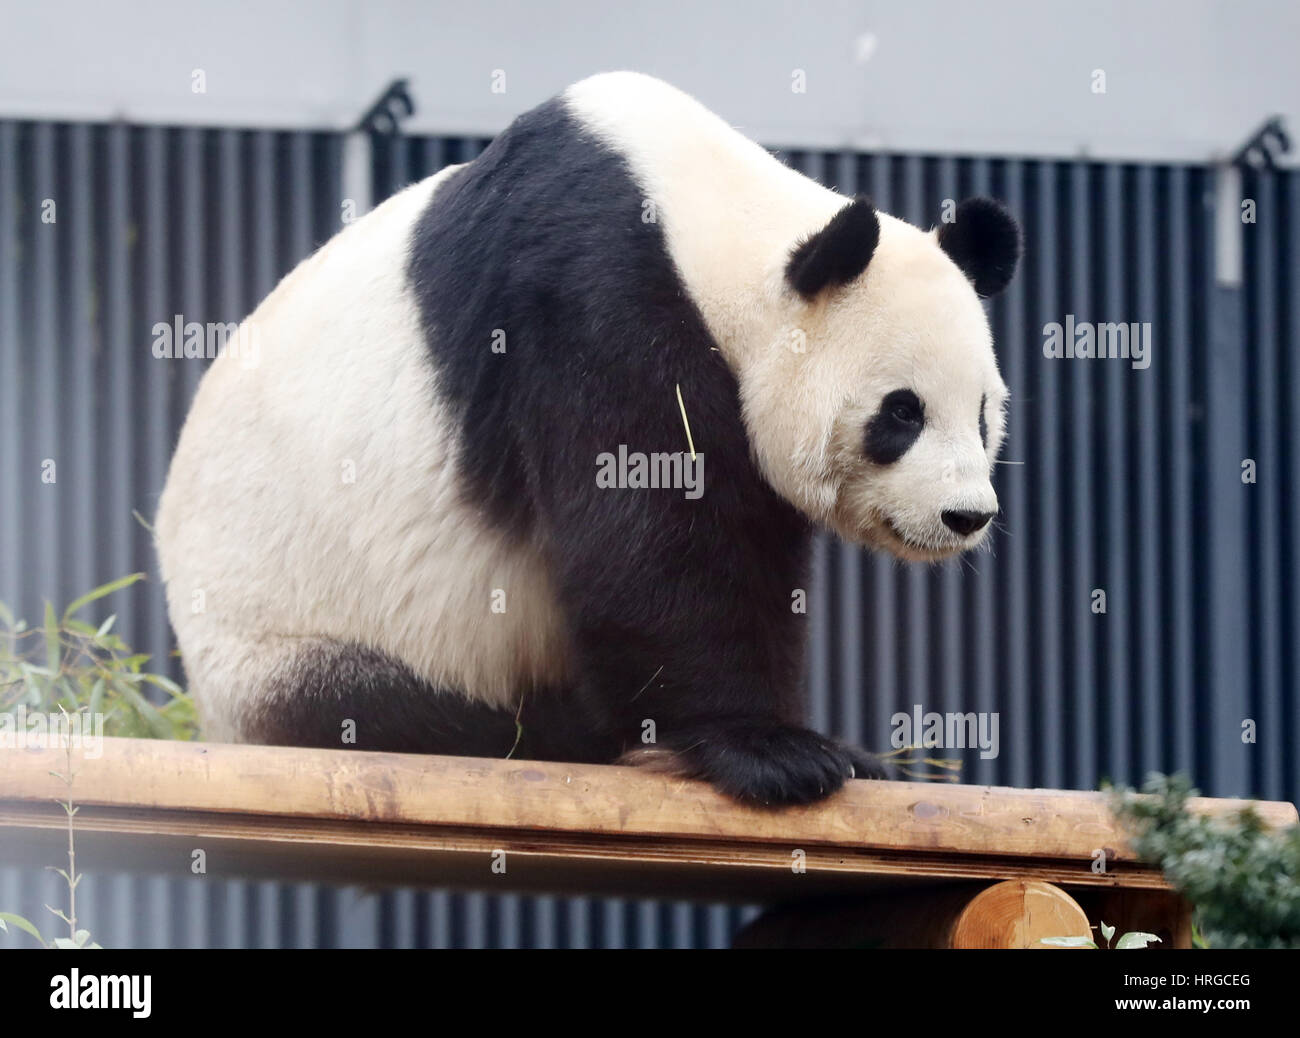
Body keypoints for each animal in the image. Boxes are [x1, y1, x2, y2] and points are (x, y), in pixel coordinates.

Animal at [155, 71, 1020, 806]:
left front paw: (830, 747)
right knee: (403, 712)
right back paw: (584, 732)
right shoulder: (584, 294)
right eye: (901, 413)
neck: (711, 220)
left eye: (983, 414)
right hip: (286, 636)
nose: (965, 516)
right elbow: (652, 532)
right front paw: (773, 752)